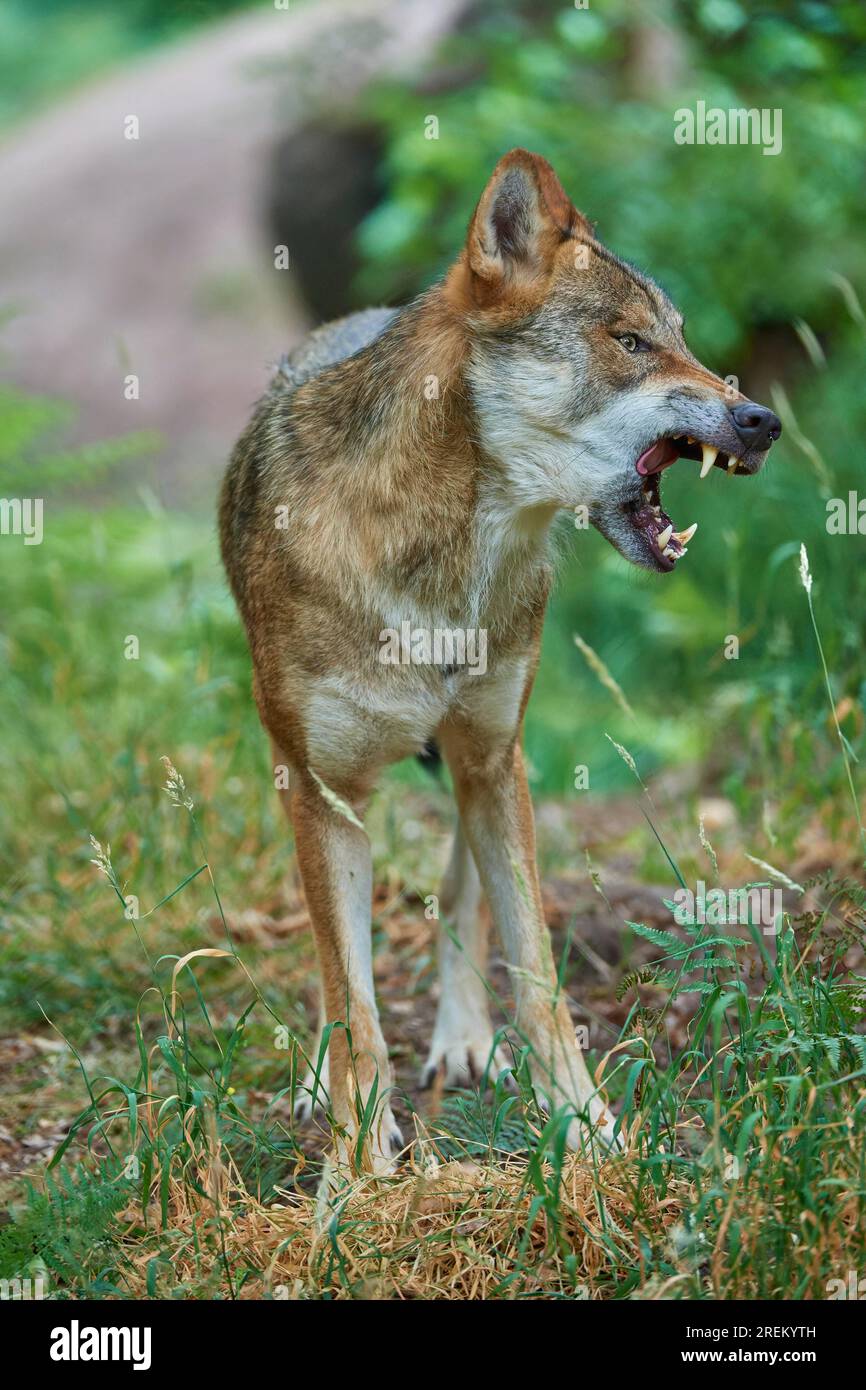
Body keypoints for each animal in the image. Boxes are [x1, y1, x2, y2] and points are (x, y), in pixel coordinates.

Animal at [219, 148, 781, 1170]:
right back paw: (328, 1078)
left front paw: (590, 1130)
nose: (761, 419)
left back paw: (465, 1041)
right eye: (632, 342)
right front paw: (360, 1167)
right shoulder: (322, 791)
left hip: (483, 763)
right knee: (340, 956)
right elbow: (351, 994)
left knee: (457, 895)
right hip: (315, 776)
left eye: (680, 339)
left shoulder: (492, 759)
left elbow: (538, 974)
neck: (441, 560)